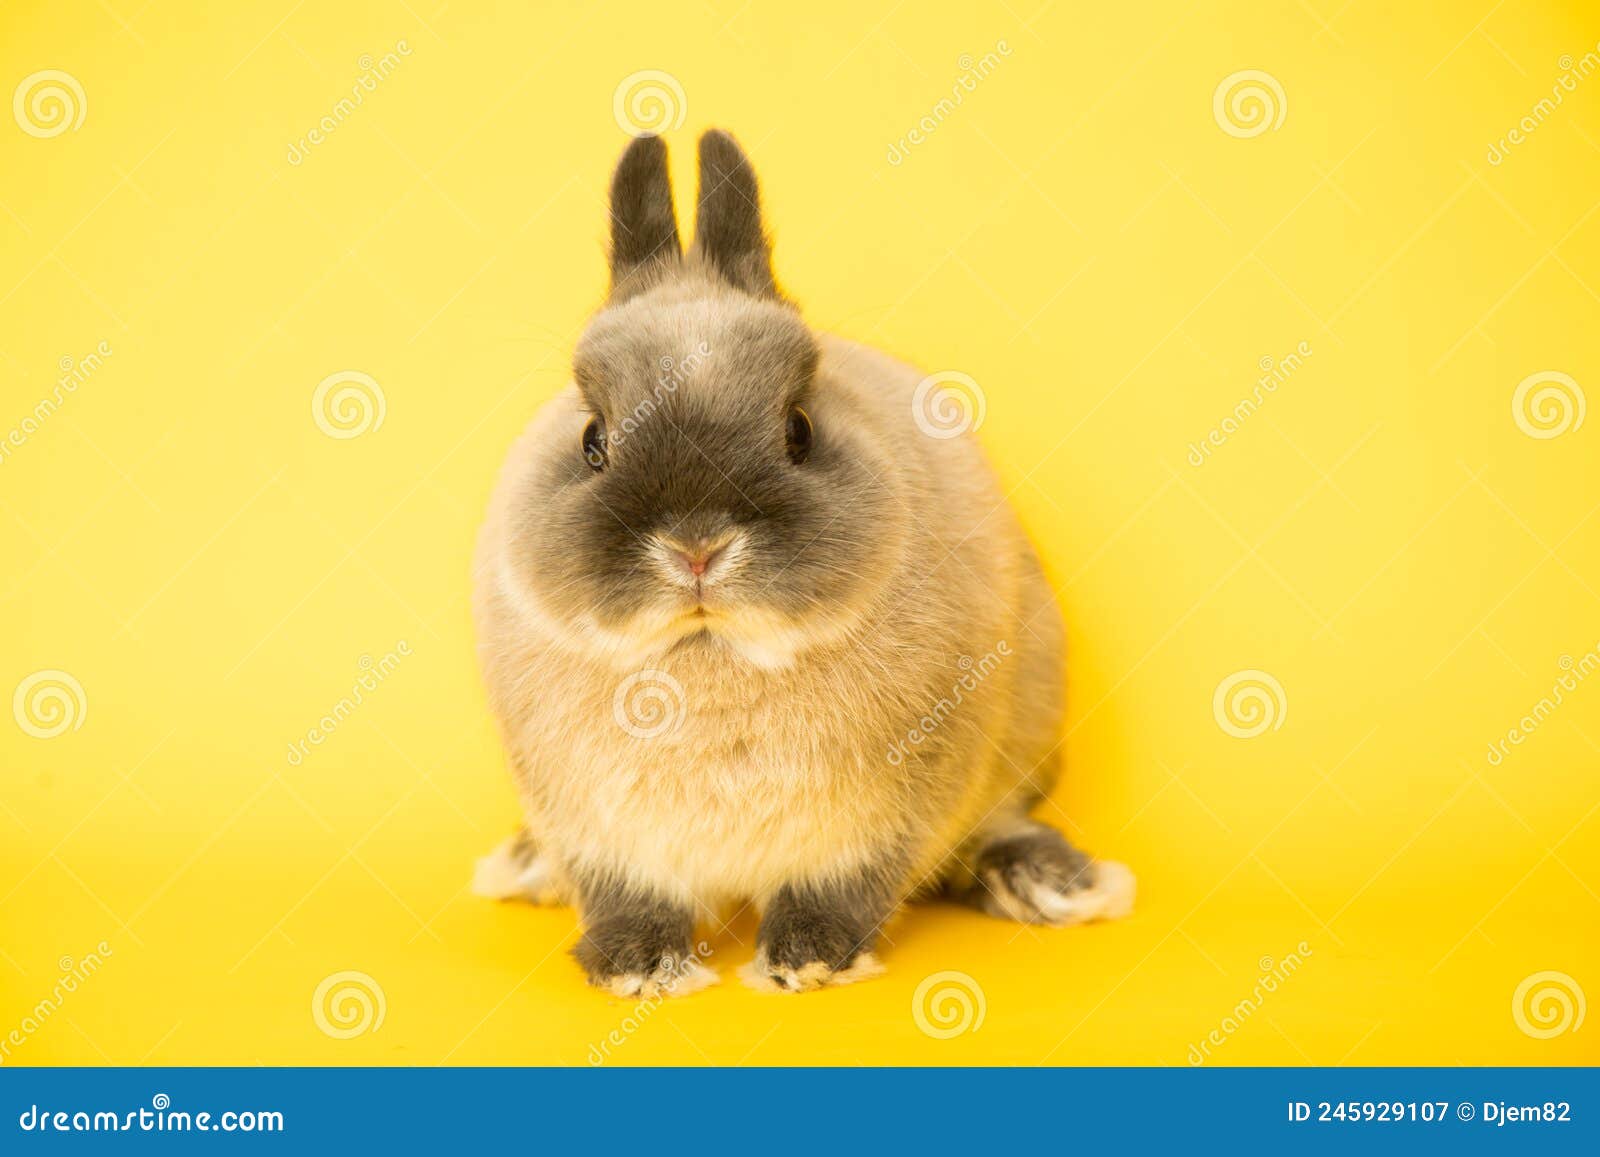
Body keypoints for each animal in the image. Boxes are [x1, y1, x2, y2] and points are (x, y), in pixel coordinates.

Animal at [471, 128, 1134, 997]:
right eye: (592, 441)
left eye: (799, 429)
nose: (696, 548)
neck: (711, 655)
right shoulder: (597, 831)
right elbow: (626, 896)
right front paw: (638, 967)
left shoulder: (886, 817)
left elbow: (845, 888)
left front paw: (806, 959)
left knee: (1000, 819)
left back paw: (1052, 881)